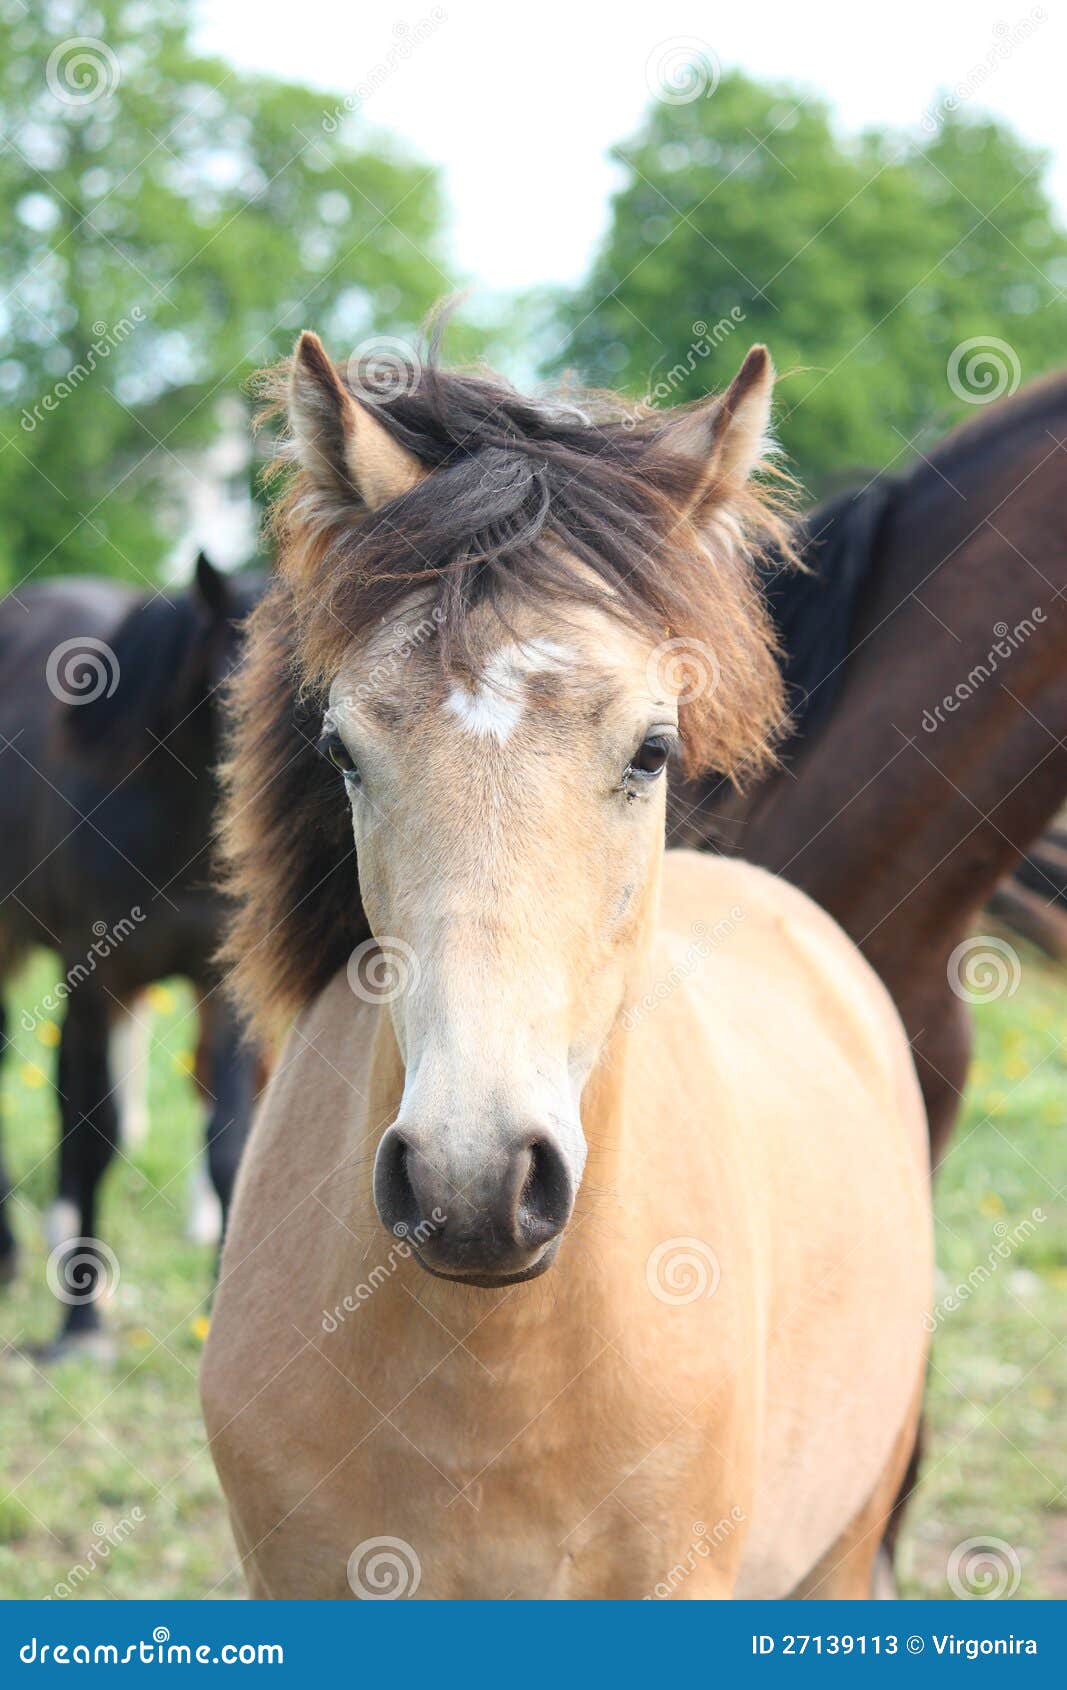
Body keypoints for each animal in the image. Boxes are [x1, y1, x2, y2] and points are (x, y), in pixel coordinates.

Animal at [0, 553, 266, 1356]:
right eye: (226, 685)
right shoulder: (96, 979)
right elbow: (97, 1137)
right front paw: (81, 1324)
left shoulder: (222, 985)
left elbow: (228, 1140)